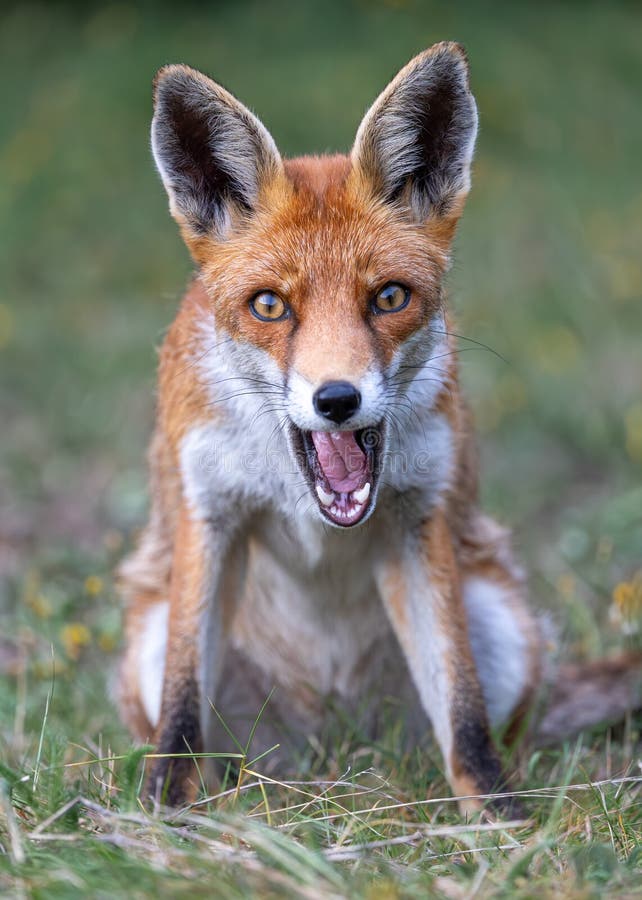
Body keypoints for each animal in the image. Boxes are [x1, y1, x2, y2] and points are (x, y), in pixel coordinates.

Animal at [117, 42, 641, 813]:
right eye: (270, 305)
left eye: (389, 297)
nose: (337, 399)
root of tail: (335, 739)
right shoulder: (206, 515)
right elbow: (181, 712)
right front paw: (161, 818)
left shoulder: (417, 520)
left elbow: (463, 711)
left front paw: (498, 819)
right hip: (149, 646)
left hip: (502, 624)